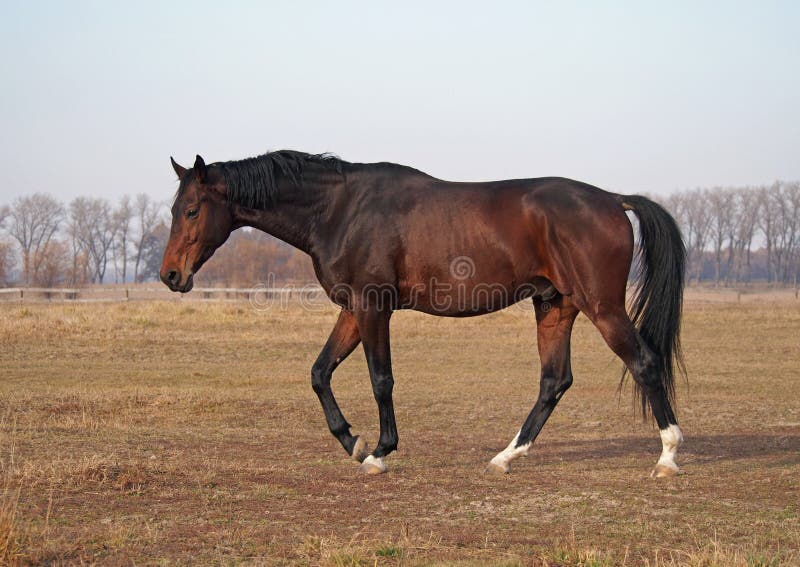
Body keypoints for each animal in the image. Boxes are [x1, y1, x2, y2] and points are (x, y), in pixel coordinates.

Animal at [161, 150, 686, 478]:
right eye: (173, 208)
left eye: (191, 210)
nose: (170, 275)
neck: (340, 209)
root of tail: (612, 200)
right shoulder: (352, 310)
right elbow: (319, 372)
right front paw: (350, 440)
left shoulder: (373, 306)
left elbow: (381, 379)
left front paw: (379, 452)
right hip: (555, 307)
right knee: (554, 381)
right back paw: (505, 457)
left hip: (602, 307)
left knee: (644, 363)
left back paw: (667, 456)